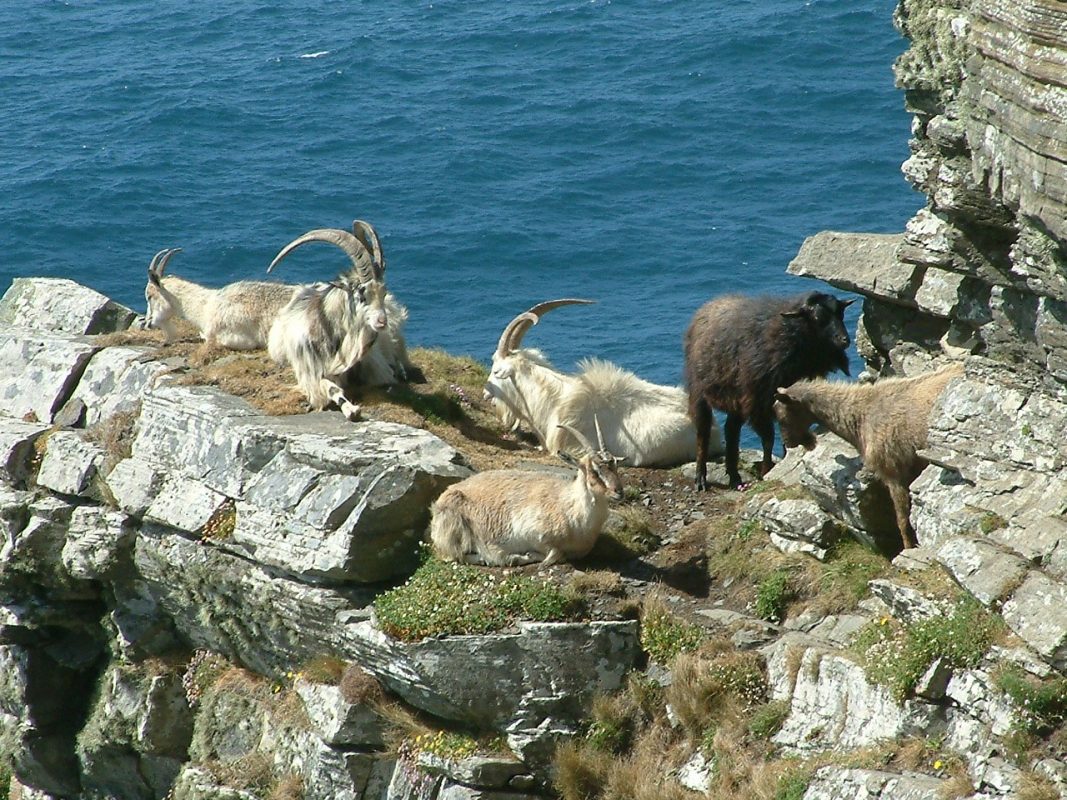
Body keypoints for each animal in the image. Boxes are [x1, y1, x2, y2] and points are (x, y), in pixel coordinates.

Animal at [265, 223, 414, 421]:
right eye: (361, 295)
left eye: (383, 293)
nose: (382, 322)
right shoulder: (310, 373)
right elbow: (331, 388)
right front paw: (352, 410)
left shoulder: (372, 362)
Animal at [429, 422, 624, 567]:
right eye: (595, 471)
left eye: (615, 466)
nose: (619, 492)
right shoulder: (534, 532)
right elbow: (554, 554)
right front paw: (520, 556)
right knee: (454, 554)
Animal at [683, 292, 853, 490]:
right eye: (818, 318)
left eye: (841, 313)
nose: (845, 340)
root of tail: (709, 305)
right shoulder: (758, 403)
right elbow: (769, 439)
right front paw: (766, 470)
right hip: (700, 391)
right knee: (703, 432)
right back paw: (700, 479)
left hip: (737, 397)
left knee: (731, 430)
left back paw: (734, 478)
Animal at [773, 362, 964, 550]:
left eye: (782, 417)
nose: (789, 442)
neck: (861, 416)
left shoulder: (893, 472)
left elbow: (902, 519)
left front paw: (908, 547)